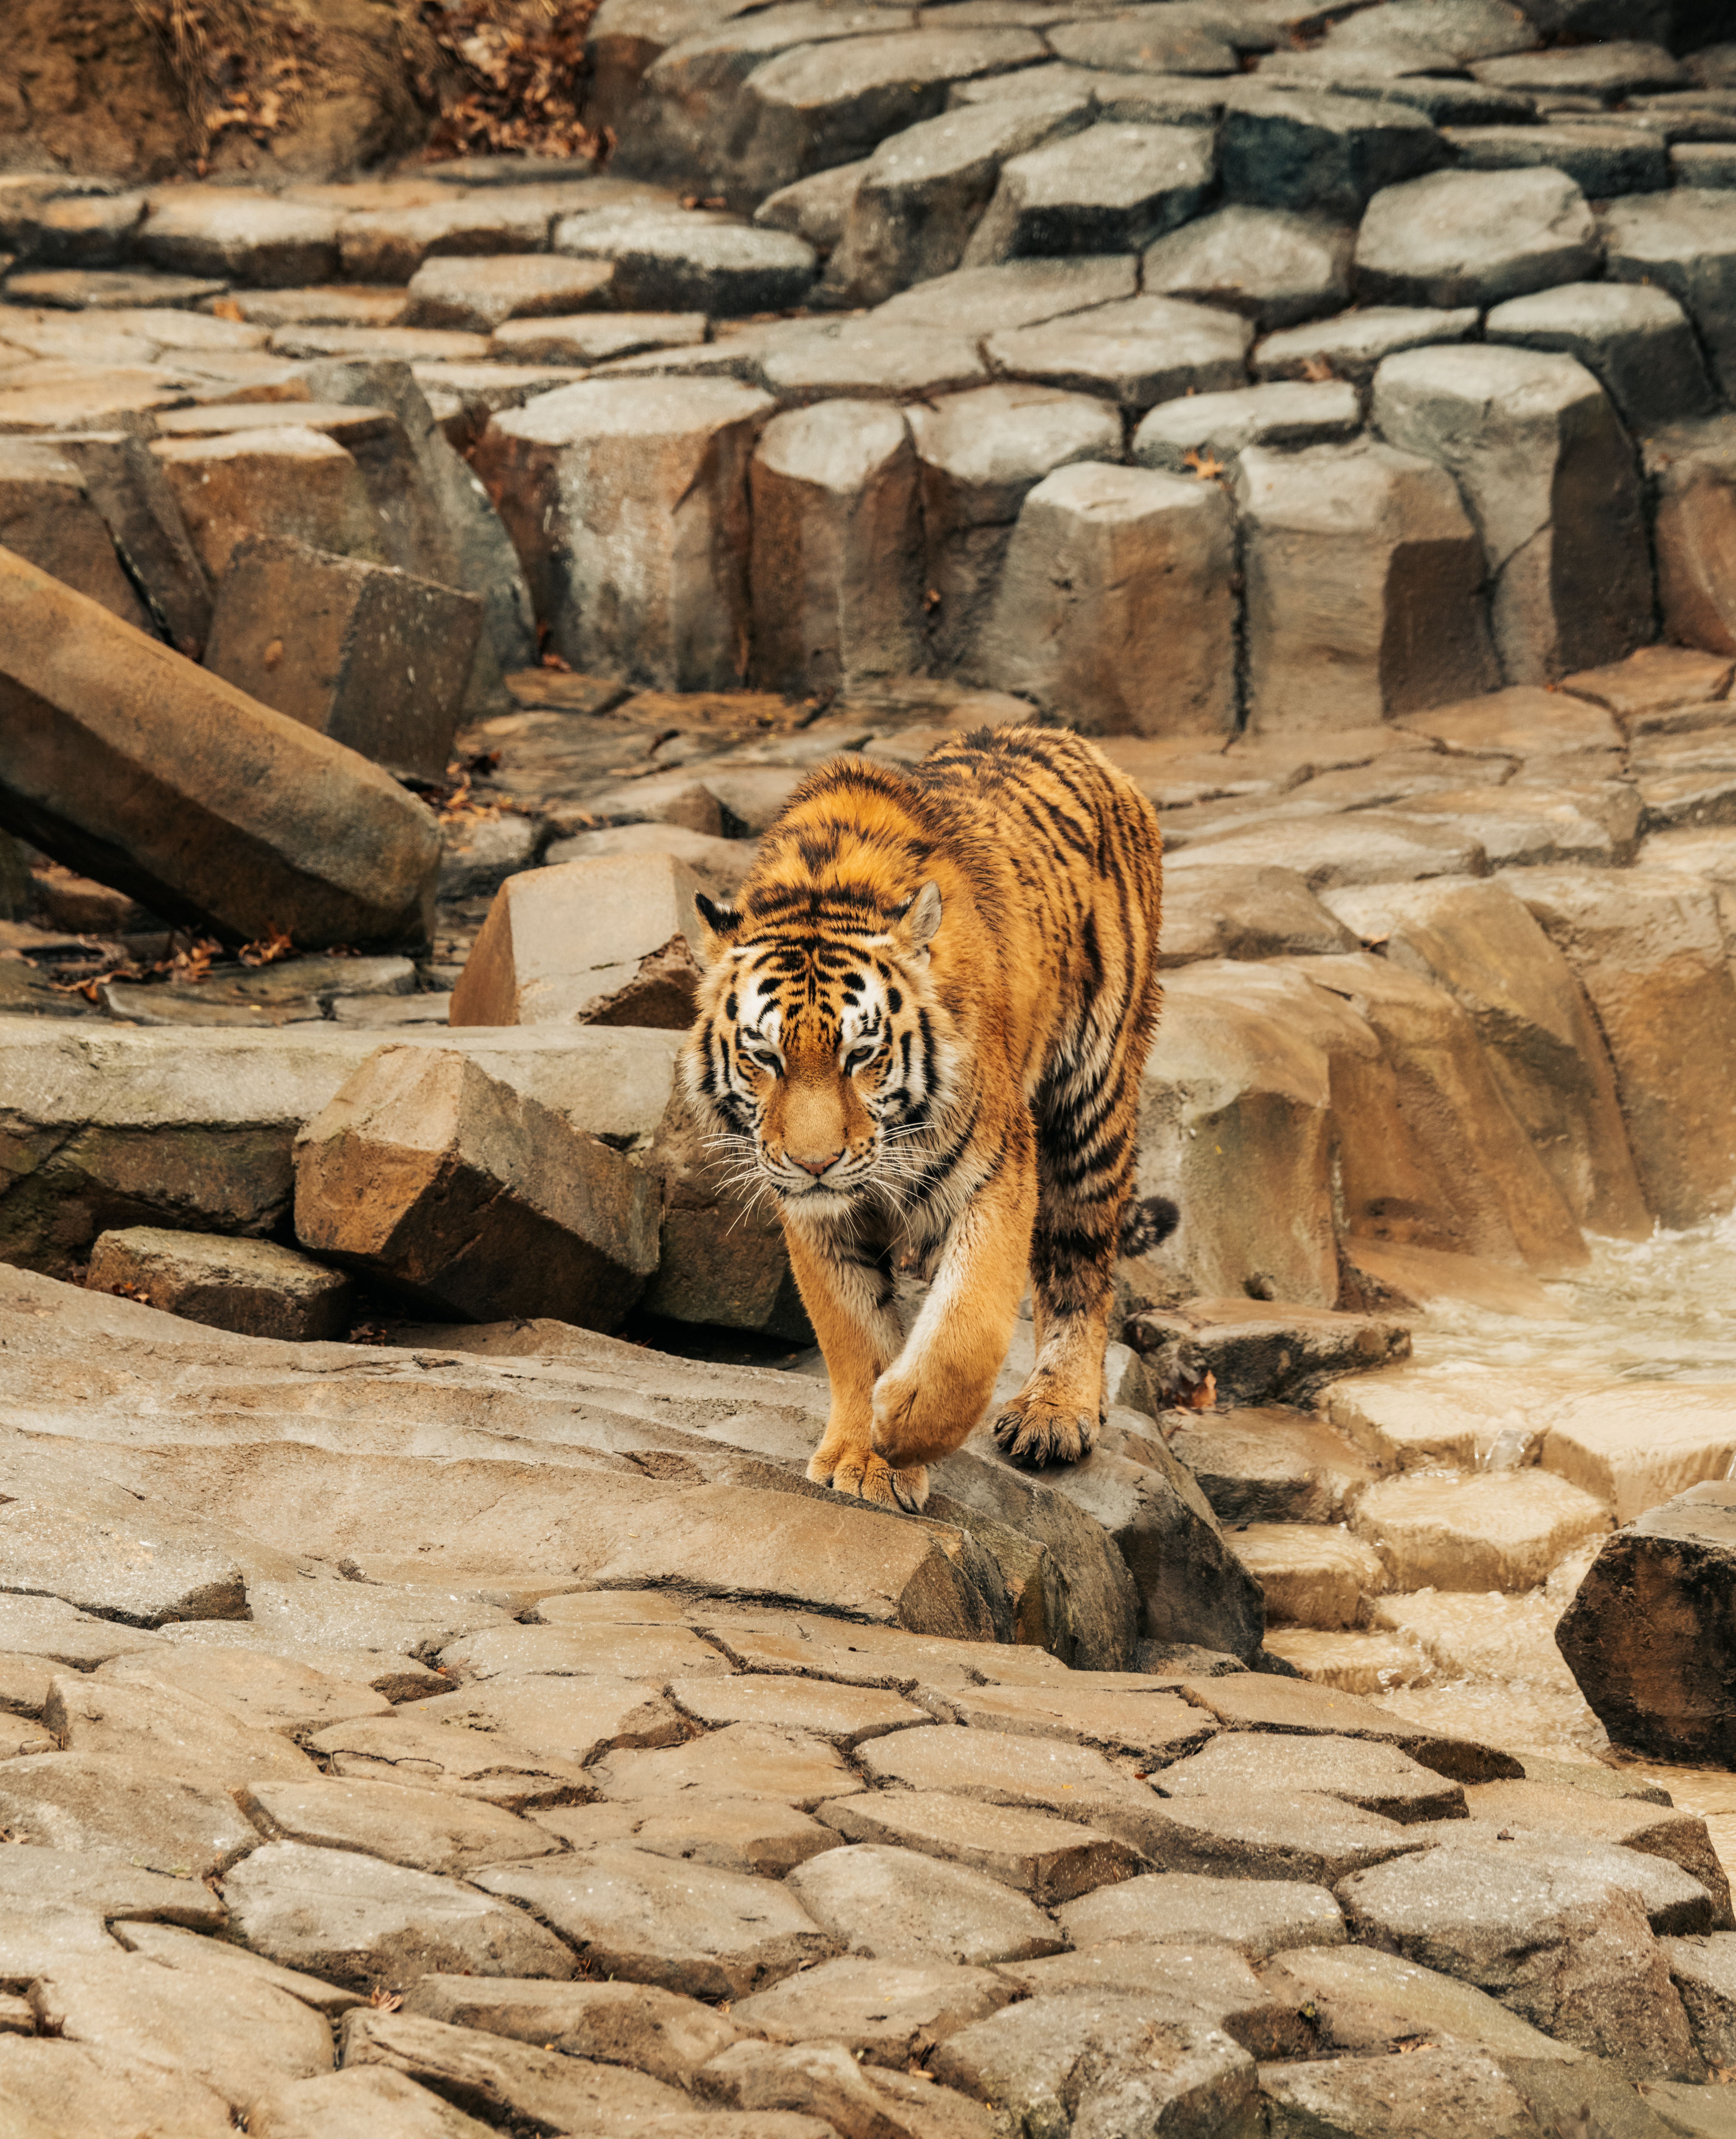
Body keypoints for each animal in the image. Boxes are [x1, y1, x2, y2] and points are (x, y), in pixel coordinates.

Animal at [681, 724, 1164, 1514]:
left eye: (861, 1054)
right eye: (764, 1057)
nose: (815, 1162)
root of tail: (1068, 737)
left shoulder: (998, 1168)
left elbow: (968, 1327)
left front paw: (904, 1427)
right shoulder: (817, 1214)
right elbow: (853, 1331)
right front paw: (865, 1456)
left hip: (1091, 1096)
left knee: (1080, 1263)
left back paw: (1056, 1410)